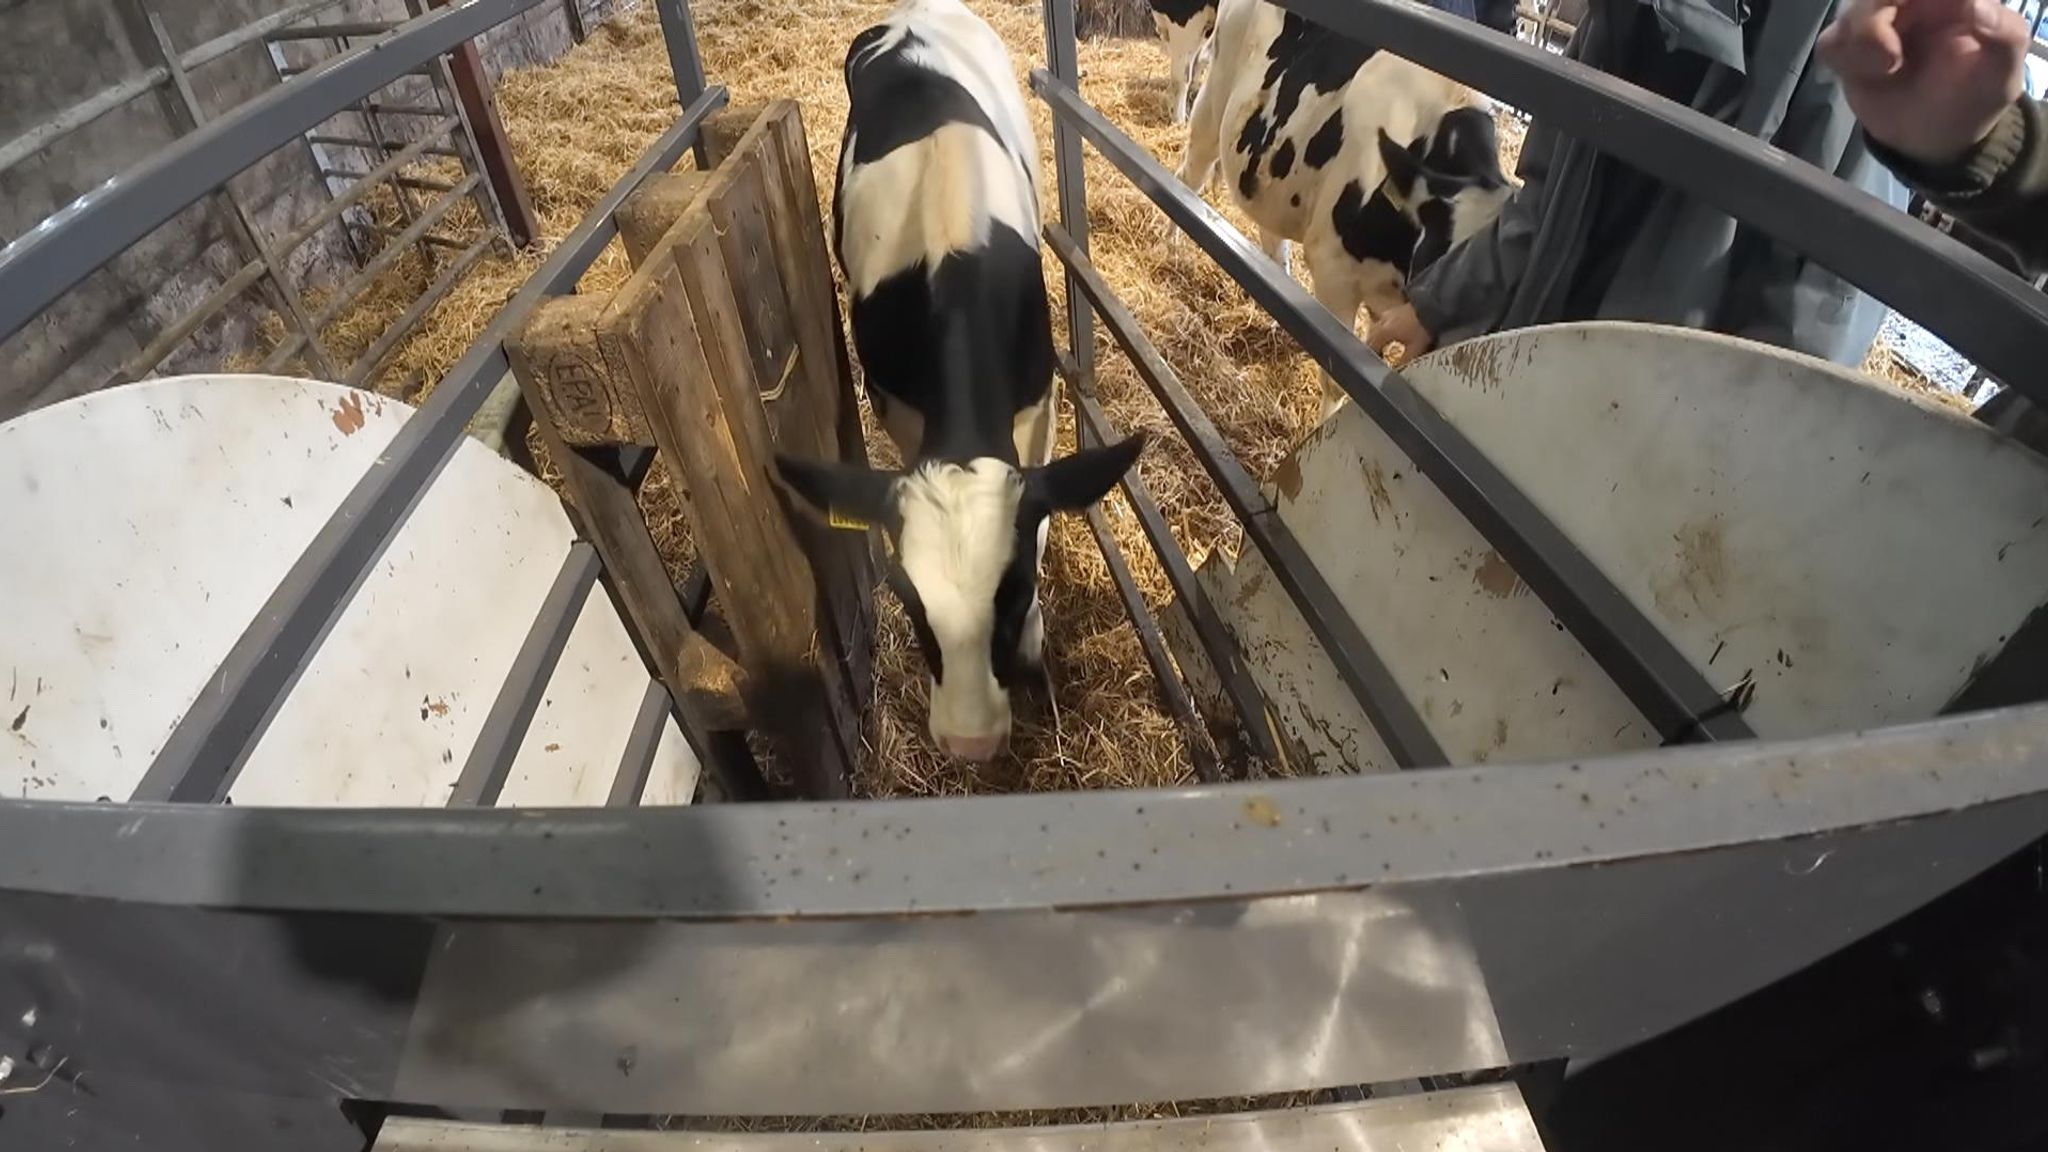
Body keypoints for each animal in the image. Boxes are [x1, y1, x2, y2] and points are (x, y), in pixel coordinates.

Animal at [776, 0, 1144, 763]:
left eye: (1014, 590)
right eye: (908, 600)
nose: (969, 742)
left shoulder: (1037, 404)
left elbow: (1041, 518)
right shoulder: (898, 406)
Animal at [1176, 0, 1515, 415]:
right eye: (1441, 261)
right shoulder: (1334, 270)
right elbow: (1338, 381)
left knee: (1271, 234)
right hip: (1212, 105)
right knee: (1189, 175)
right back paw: (1171, 244)